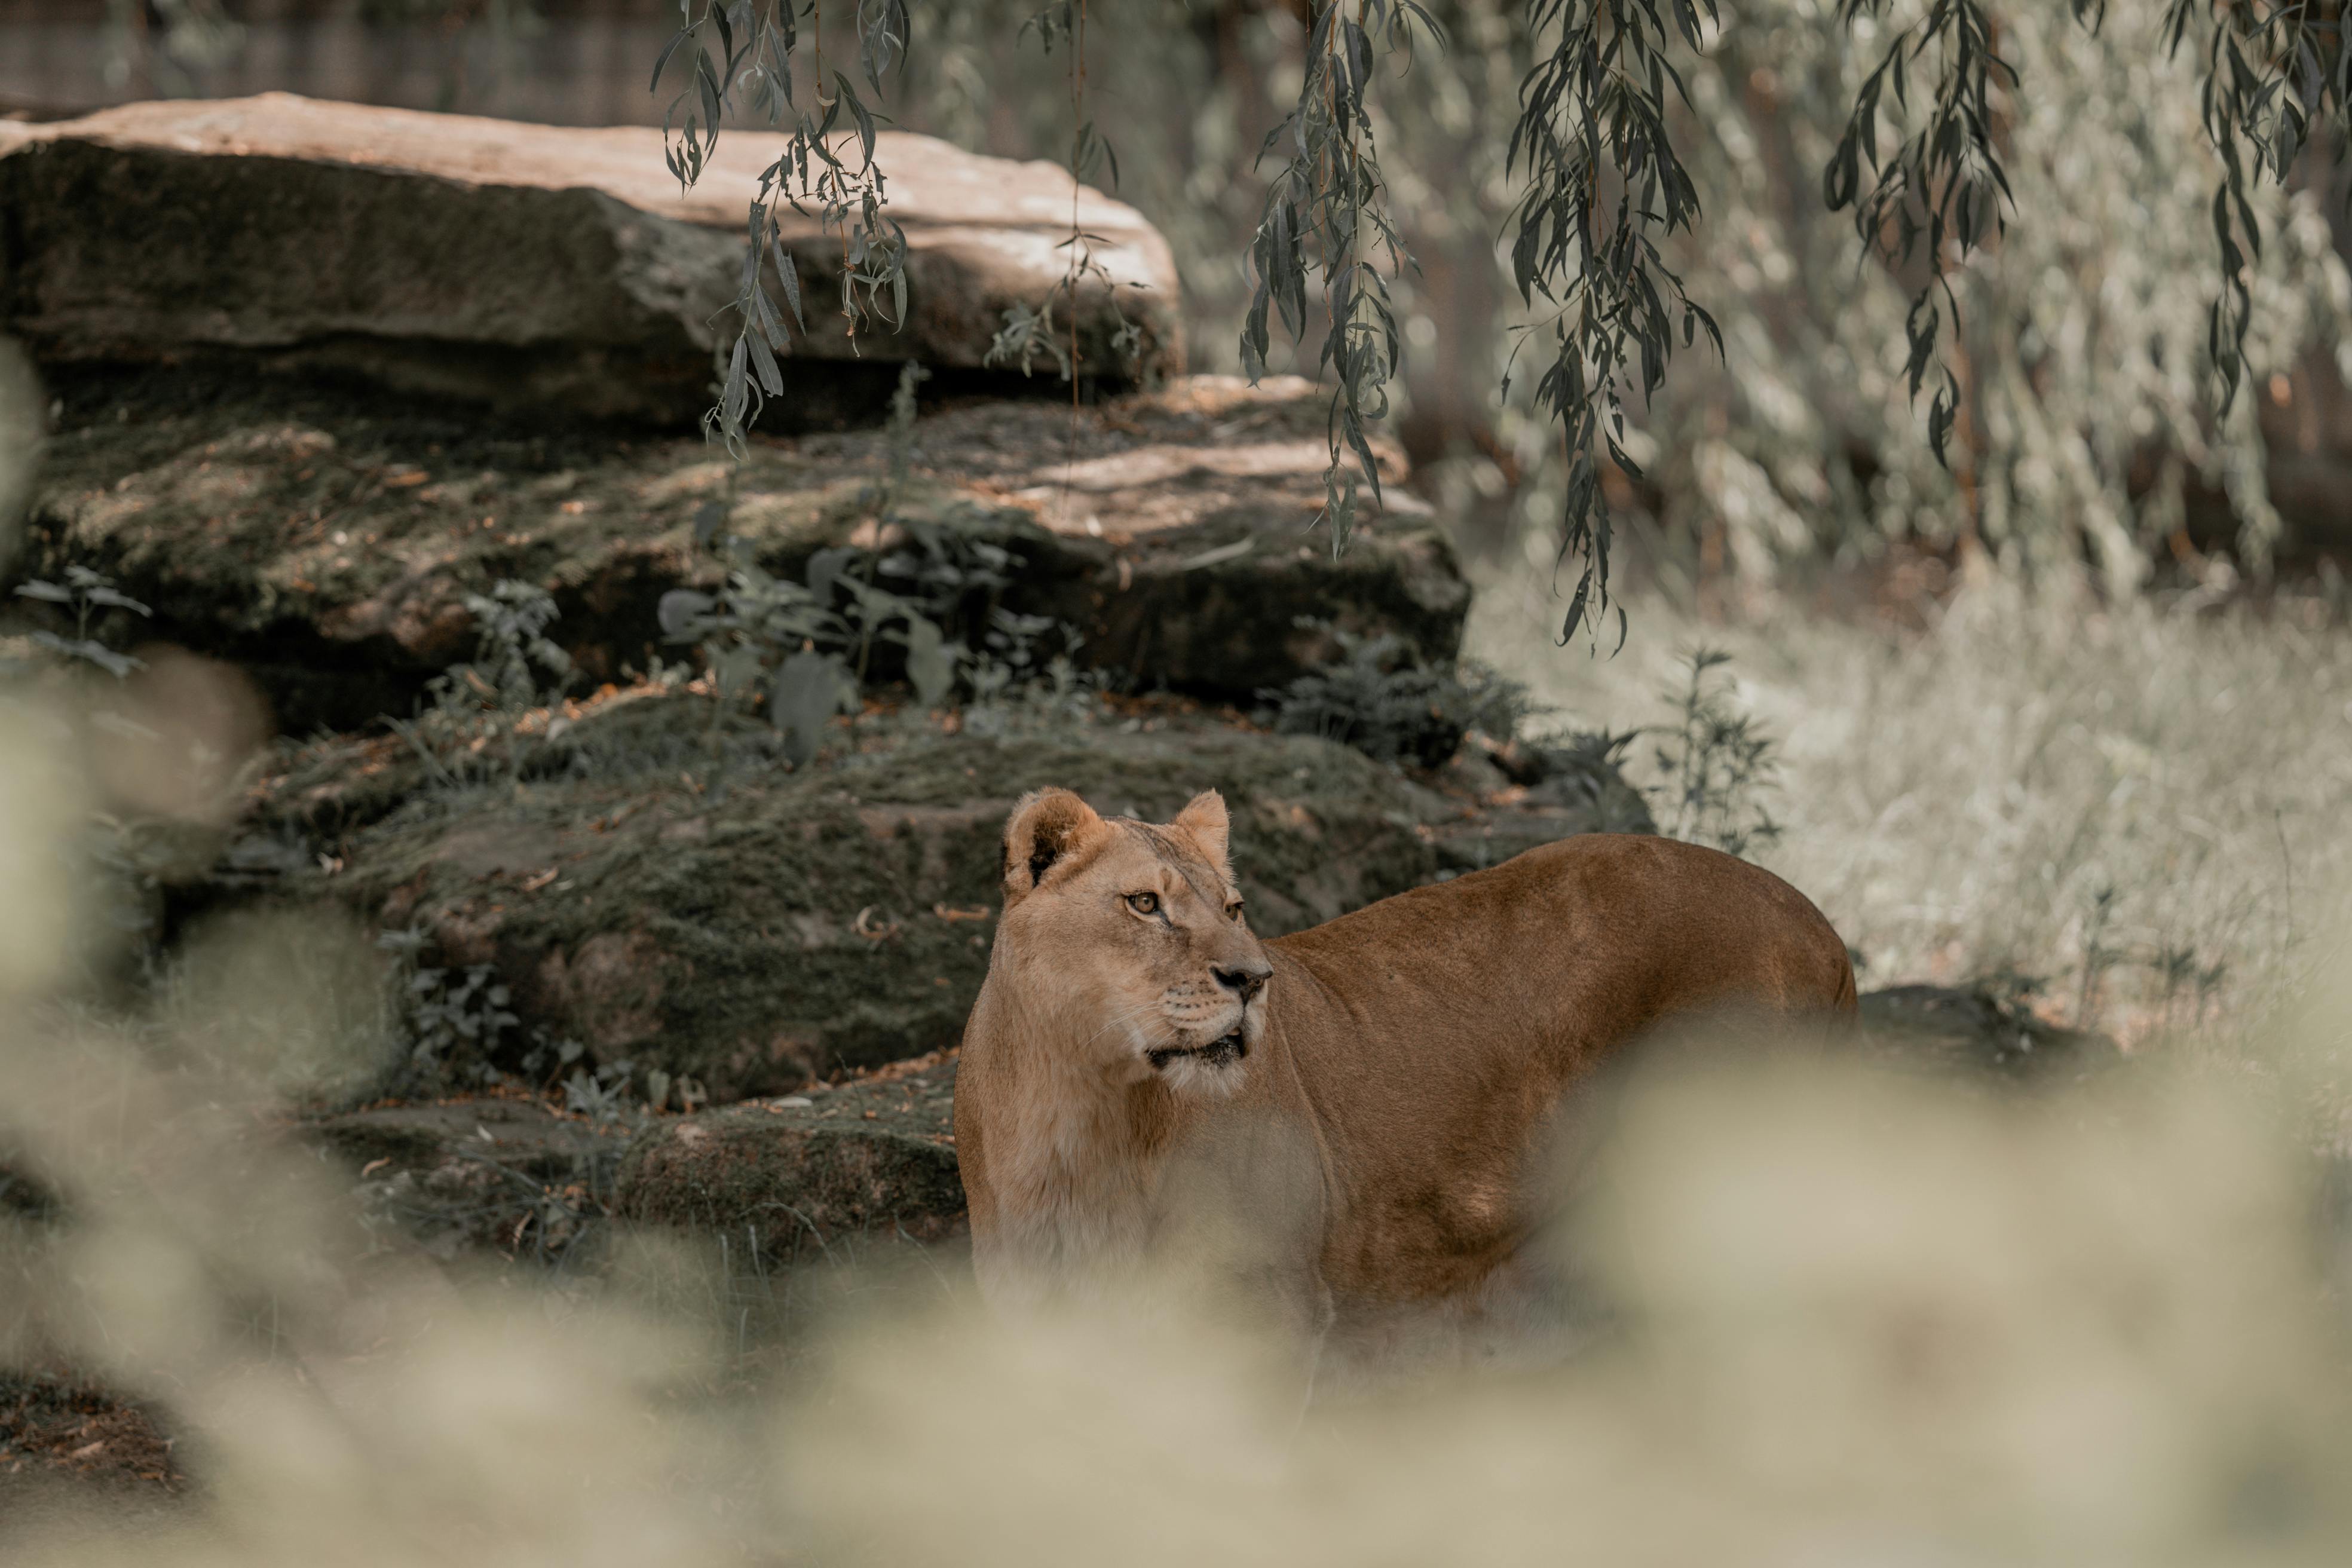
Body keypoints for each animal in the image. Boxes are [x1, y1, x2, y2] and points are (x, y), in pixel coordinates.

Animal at [952, 786, 1856, 1342]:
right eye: (1145, 903)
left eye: (1234, 909)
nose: (1254, 979)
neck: (1079, 1109)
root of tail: (1821, 926)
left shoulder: (1268, 1305)